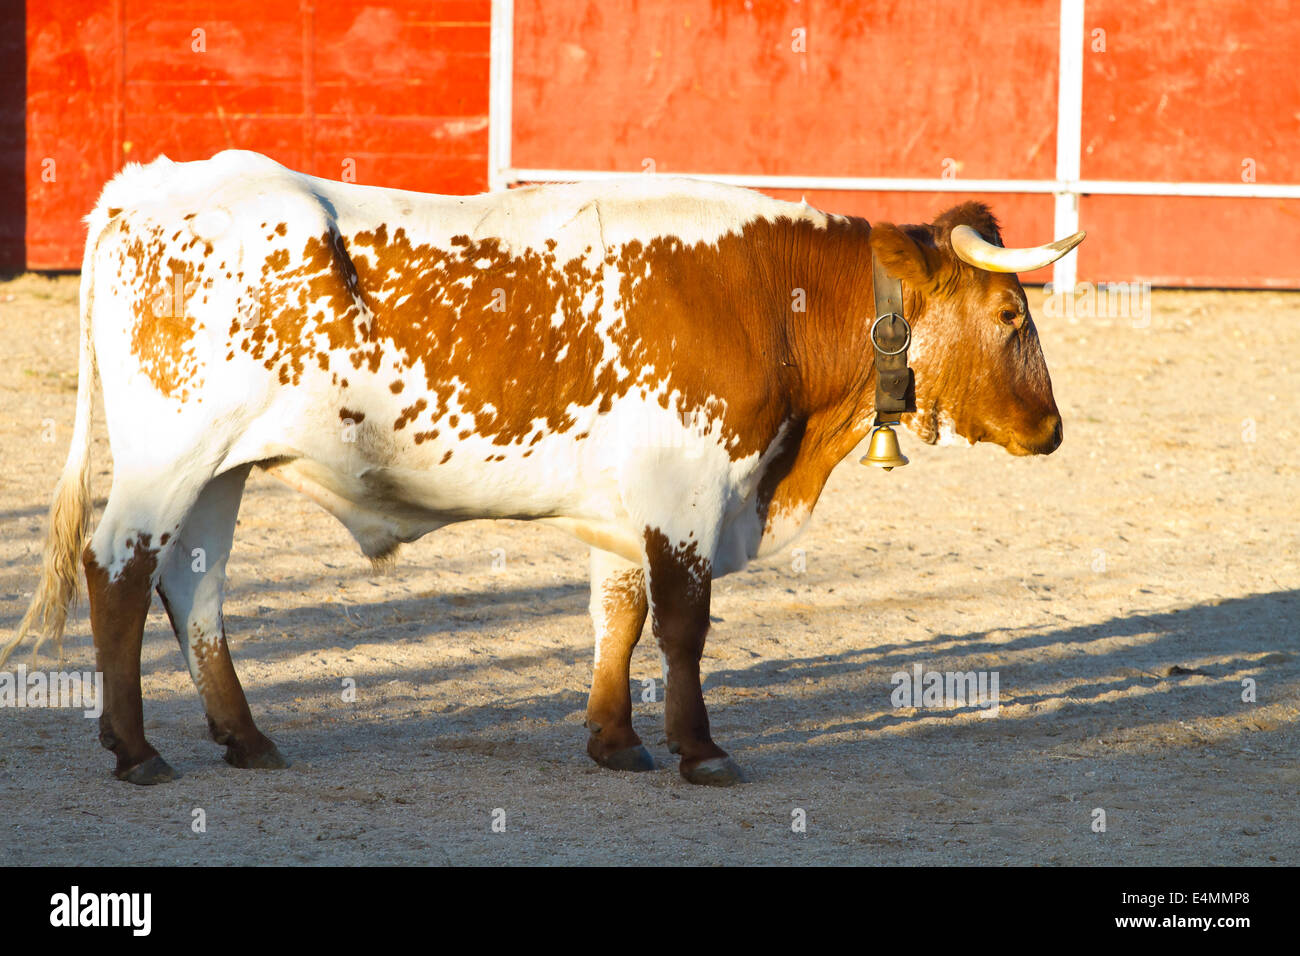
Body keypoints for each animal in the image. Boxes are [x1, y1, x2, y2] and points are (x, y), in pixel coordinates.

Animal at [4, 150, 1083, 786]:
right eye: (1008, 314)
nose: (1051, 429)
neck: (771, 302)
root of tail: (152, 185)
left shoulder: (635, 506)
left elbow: (619, 615)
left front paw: (616, 739)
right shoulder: (688, 492)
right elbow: (683, 626)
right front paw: (699, 748)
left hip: (222, 467)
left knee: (195, 588)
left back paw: (244, 736)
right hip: (166, 460)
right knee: (117, 570)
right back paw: (135, 749)